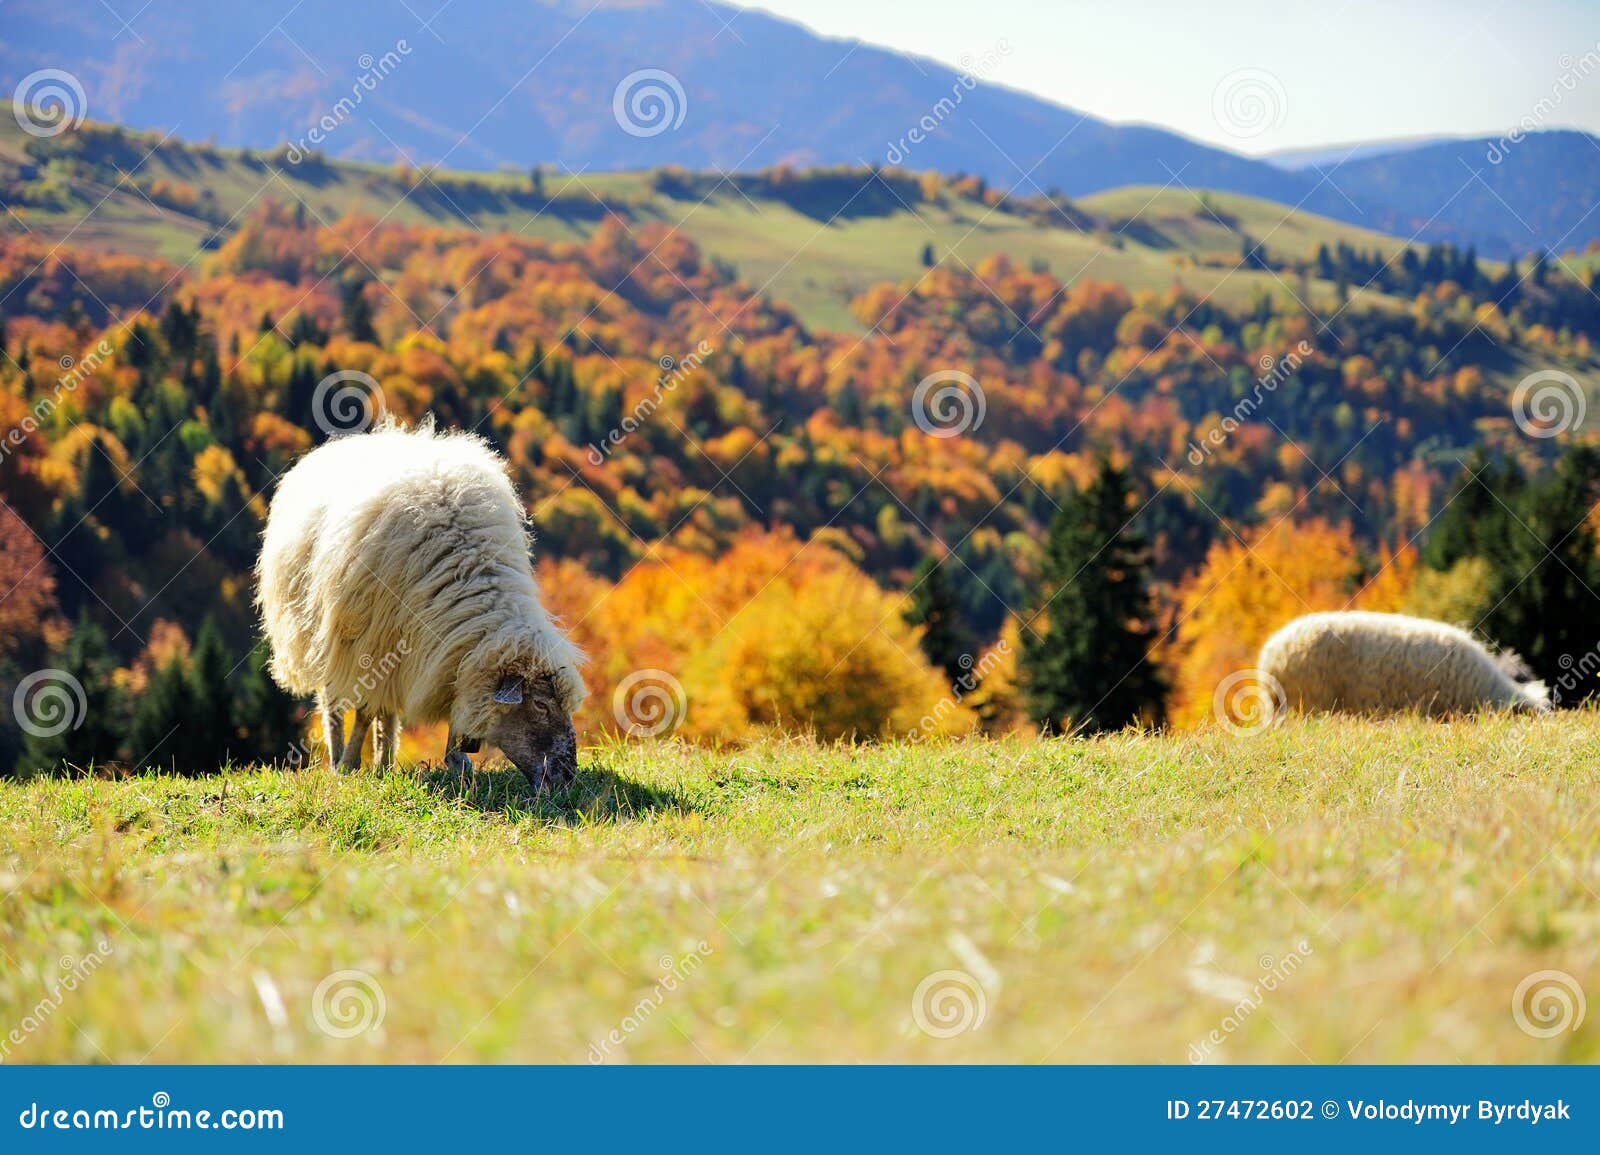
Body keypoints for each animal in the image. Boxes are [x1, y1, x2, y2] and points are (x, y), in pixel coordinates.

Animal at [256, 419, 586, 787]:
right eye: (541, 705)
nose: (567, 775)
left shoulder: (444, 649)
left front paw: (457, 761)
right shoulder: (369, 643)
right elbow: (364, 710)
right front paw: (350, 763)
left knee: (384, 709)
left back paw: (385, 762)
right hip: (329, 637)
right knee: (335, 704)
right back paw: (341, 757)